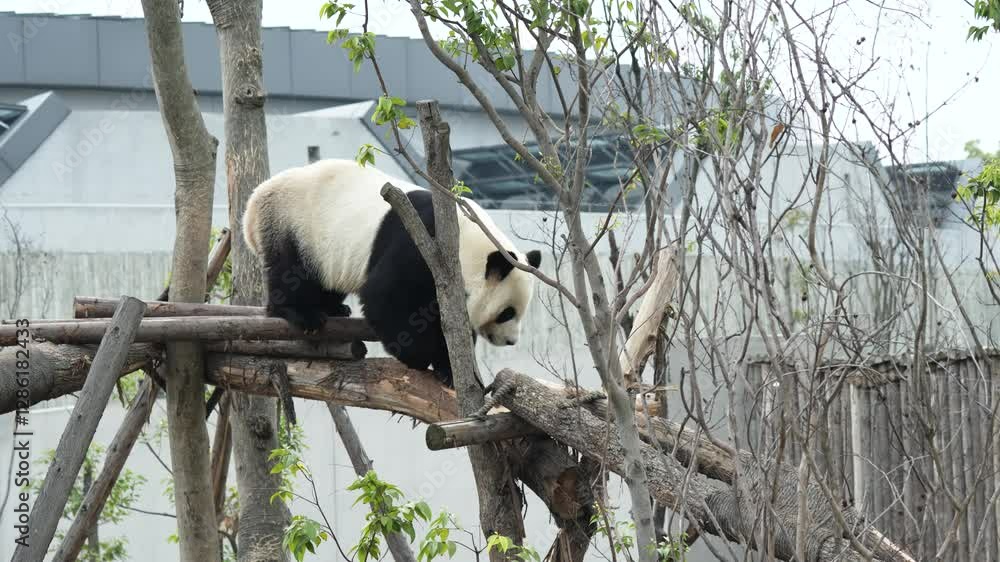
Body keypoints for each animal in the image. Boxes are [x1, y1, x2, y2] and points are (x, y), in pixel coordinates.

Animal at [242, 158, 541, 387]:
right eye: (507, 313)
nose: (511, 341)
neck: (465, 243)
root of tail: (254, 203)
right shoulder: (421, 248)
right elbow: (387, 297)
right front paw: (419, 357)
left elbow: (444, 322)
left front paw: (448, 368)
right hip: (295, 225)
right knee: (292, 273)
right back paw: (304, 315)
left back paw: (334, 308)